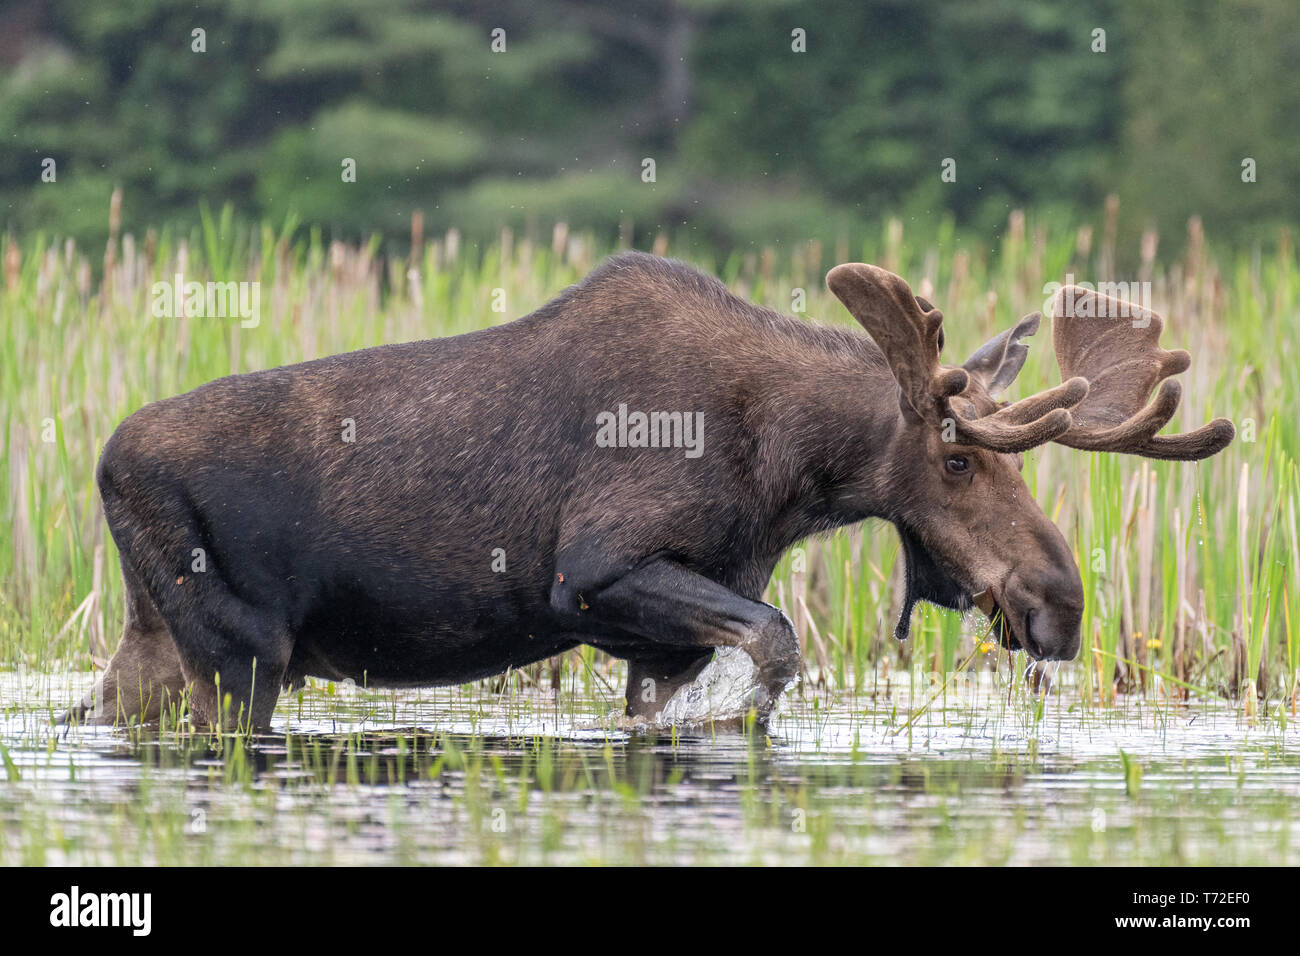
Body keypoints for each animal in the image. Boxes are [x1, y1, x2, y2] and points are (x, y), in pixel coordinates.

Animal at [68, 252, 1234, 731]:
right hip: (242, 651)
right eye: (955, 461)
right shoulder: (594, 571)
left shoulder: (659, 638)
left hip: (157, 639)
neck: (789, 472)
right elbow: (778, 642)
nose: (1060, 601)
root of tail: (104, 461)